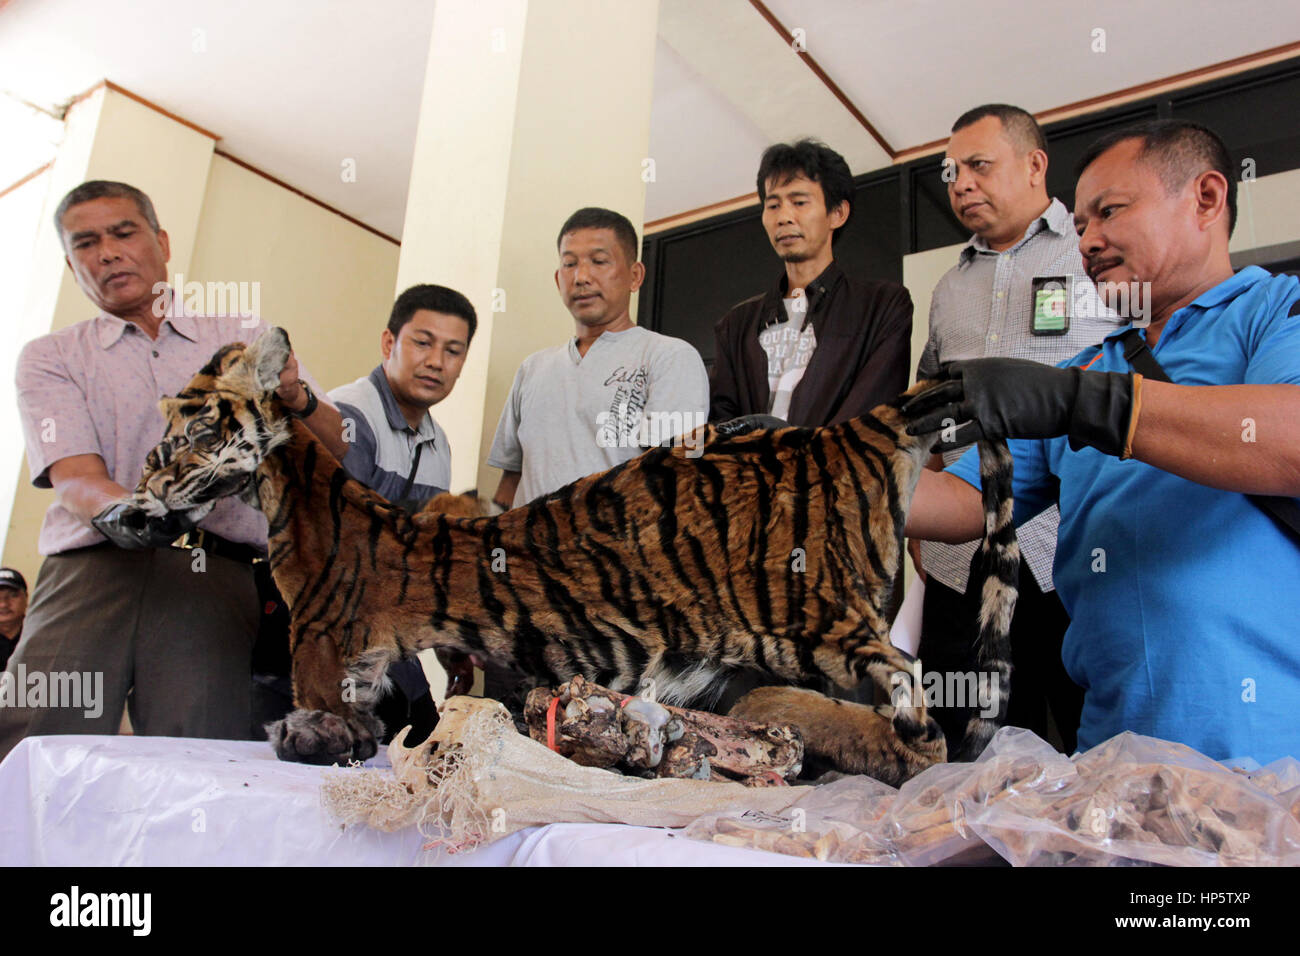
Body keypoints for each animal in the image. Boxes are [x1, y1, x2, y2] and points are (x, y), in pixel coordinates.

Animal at [129, 326, 1018, 778]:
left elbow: (320, 695)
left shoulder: (320, 630)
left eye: (176, 433)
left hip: (808, 618)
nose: (145, 483)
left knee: (911, 689)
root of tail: (854, 427)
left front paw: (315, 737)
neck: (288, 480)